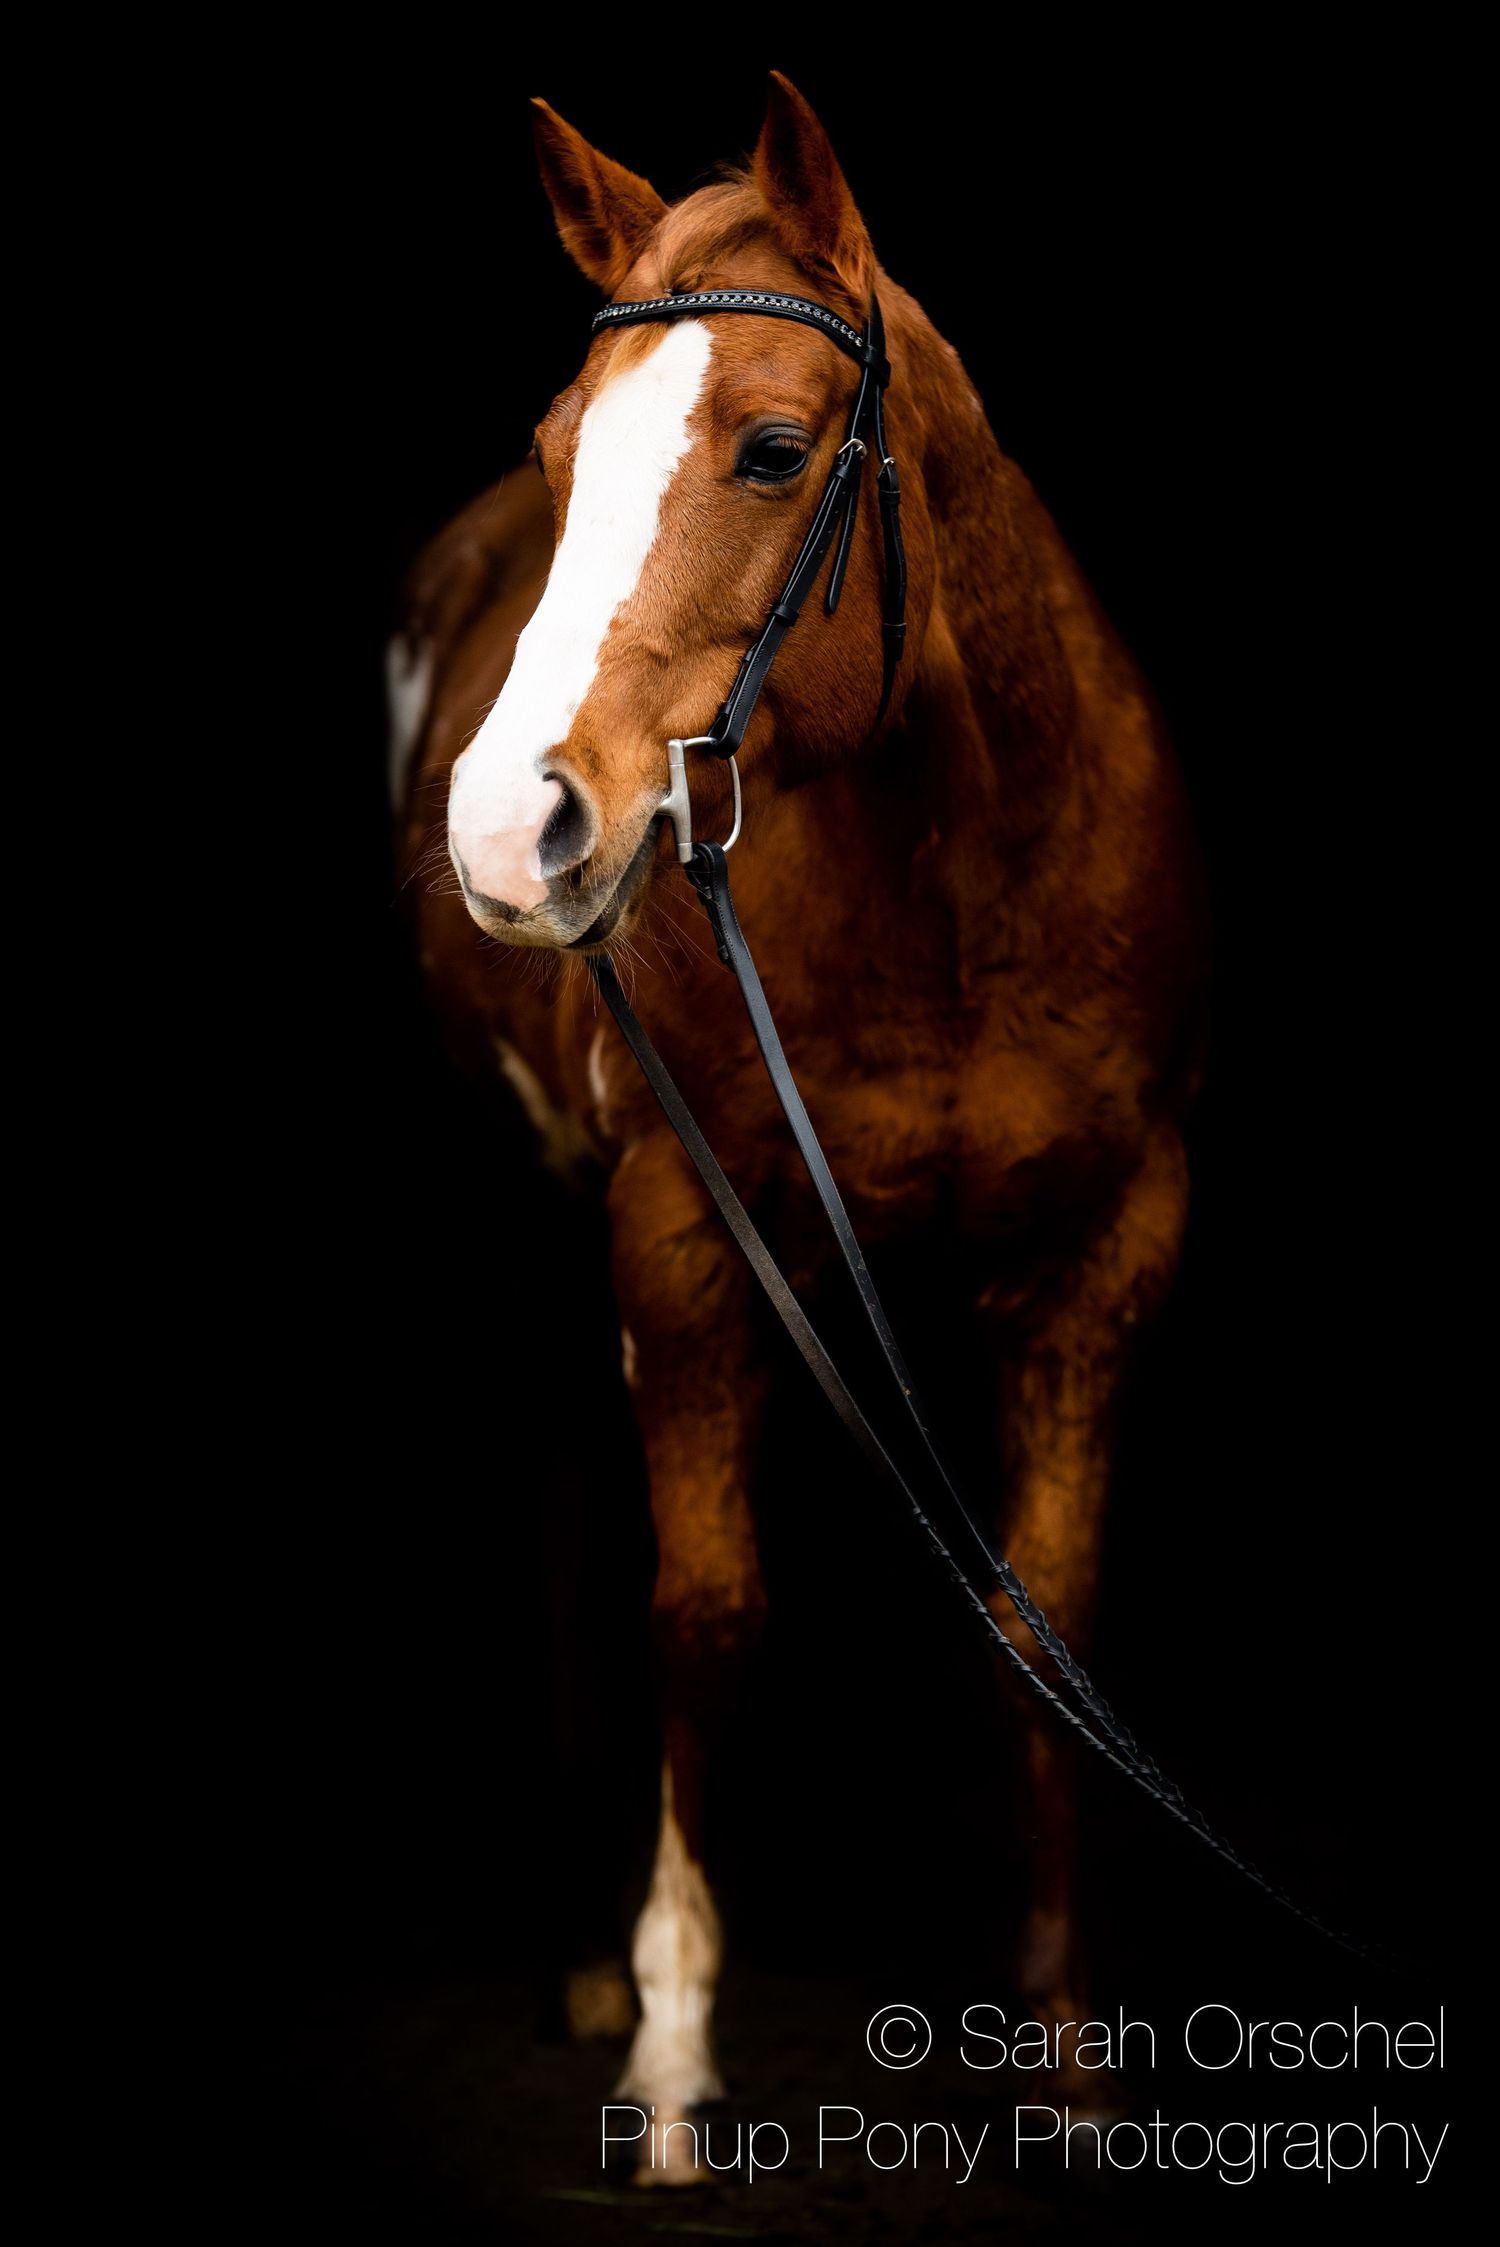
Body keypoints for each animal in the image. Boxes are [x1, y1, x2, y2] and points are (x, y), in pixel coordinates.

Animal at [391, 72, 1210, 2180]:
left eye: (772, 450)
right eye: (557, 447)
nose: (510, 827)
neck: (952, 883)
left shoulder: (1102, 1251)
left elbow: (1040, 1631)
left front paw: (1069, 2060)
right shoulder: (682, 1235)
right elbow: (708, 1613)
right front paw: (677, 2051)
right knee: (565, 1516)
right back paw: (585, 1968)